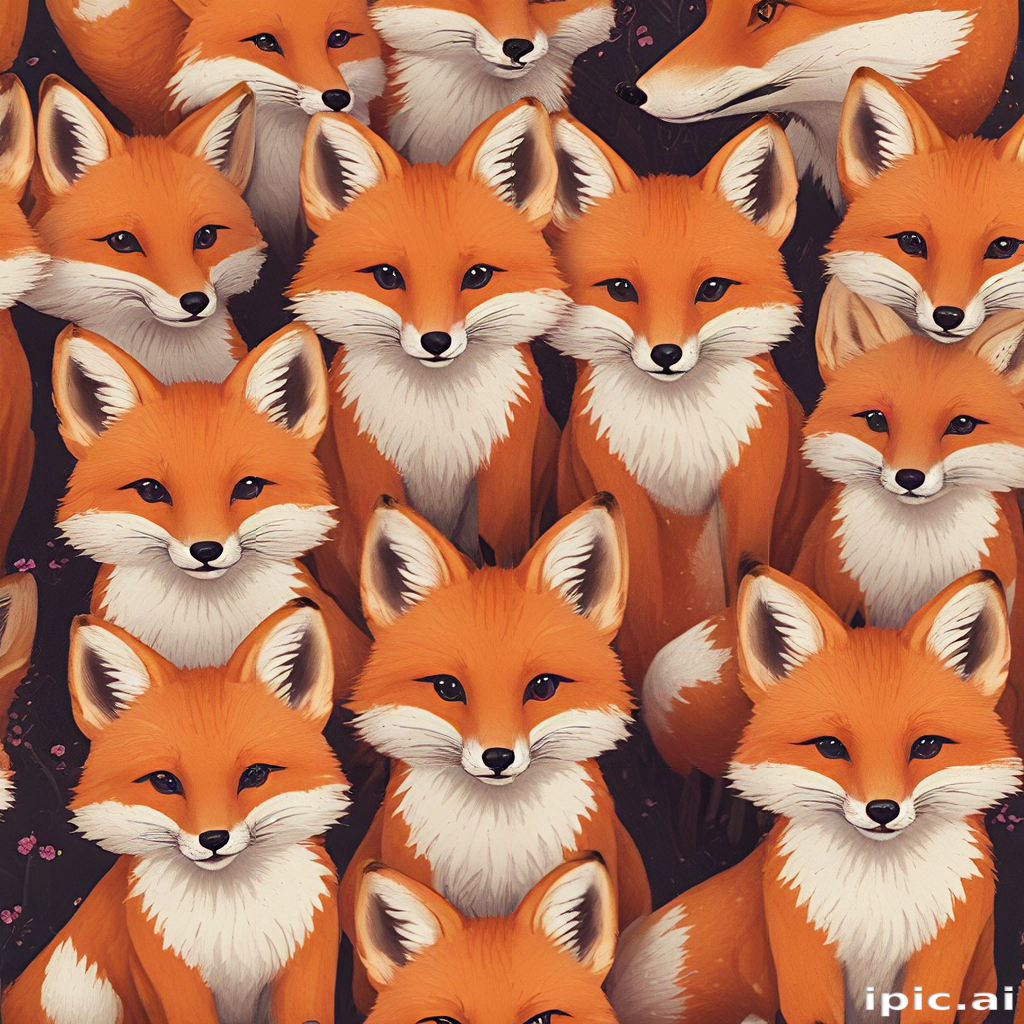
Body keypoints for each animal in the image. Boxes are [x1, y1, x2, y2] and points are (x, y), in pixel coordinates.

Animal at [0, 601, 350, 1024]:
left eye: (255, 775)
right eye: (165, 781)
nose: (214, 839)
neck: (232, 925)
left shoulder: (308, 961)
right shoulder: (168, 976)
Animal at [288, 98, 570, 618]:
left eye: (477, 276)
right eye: (386, 276)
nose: (435, 341)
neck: (436, 425)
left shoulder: (504, 467)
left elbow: (501, 546)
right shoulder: (370, 465)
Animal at [549, 111, 818, 686]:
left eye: (712, 289)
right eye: (621, 290)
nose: (666, 354)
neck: (680, 434)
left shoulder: (748, 485)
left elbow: (744, 577)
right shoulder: (621, 492)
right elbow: (643, 611)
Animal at [609, 566, 1023, 1024]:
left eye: (927, 746)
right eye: (830, 747)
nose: (883, 810)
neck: (877, 899)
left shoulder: (942, 956)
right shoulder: (802, 949)